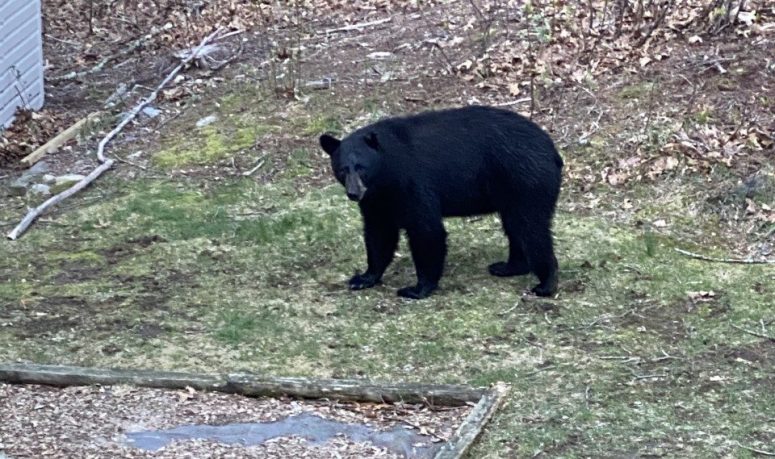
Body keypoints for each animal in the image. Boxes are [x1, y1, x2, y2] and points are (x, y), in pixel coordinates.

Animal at [319, 105, 563, 299]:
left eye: (362, 168)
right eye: (342, 169)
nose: (354, 193)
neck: (386, 176)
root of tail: (553, 151)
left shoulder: (414, 183)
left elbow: (426, 231)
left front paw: (417, 289)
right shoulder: (377, 200)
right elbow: (379, 233)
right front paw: (364, 277)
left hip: (526, 181)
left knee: (531, 229)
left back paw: (545, 284)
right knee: (515, 227)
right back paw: (508, 267)